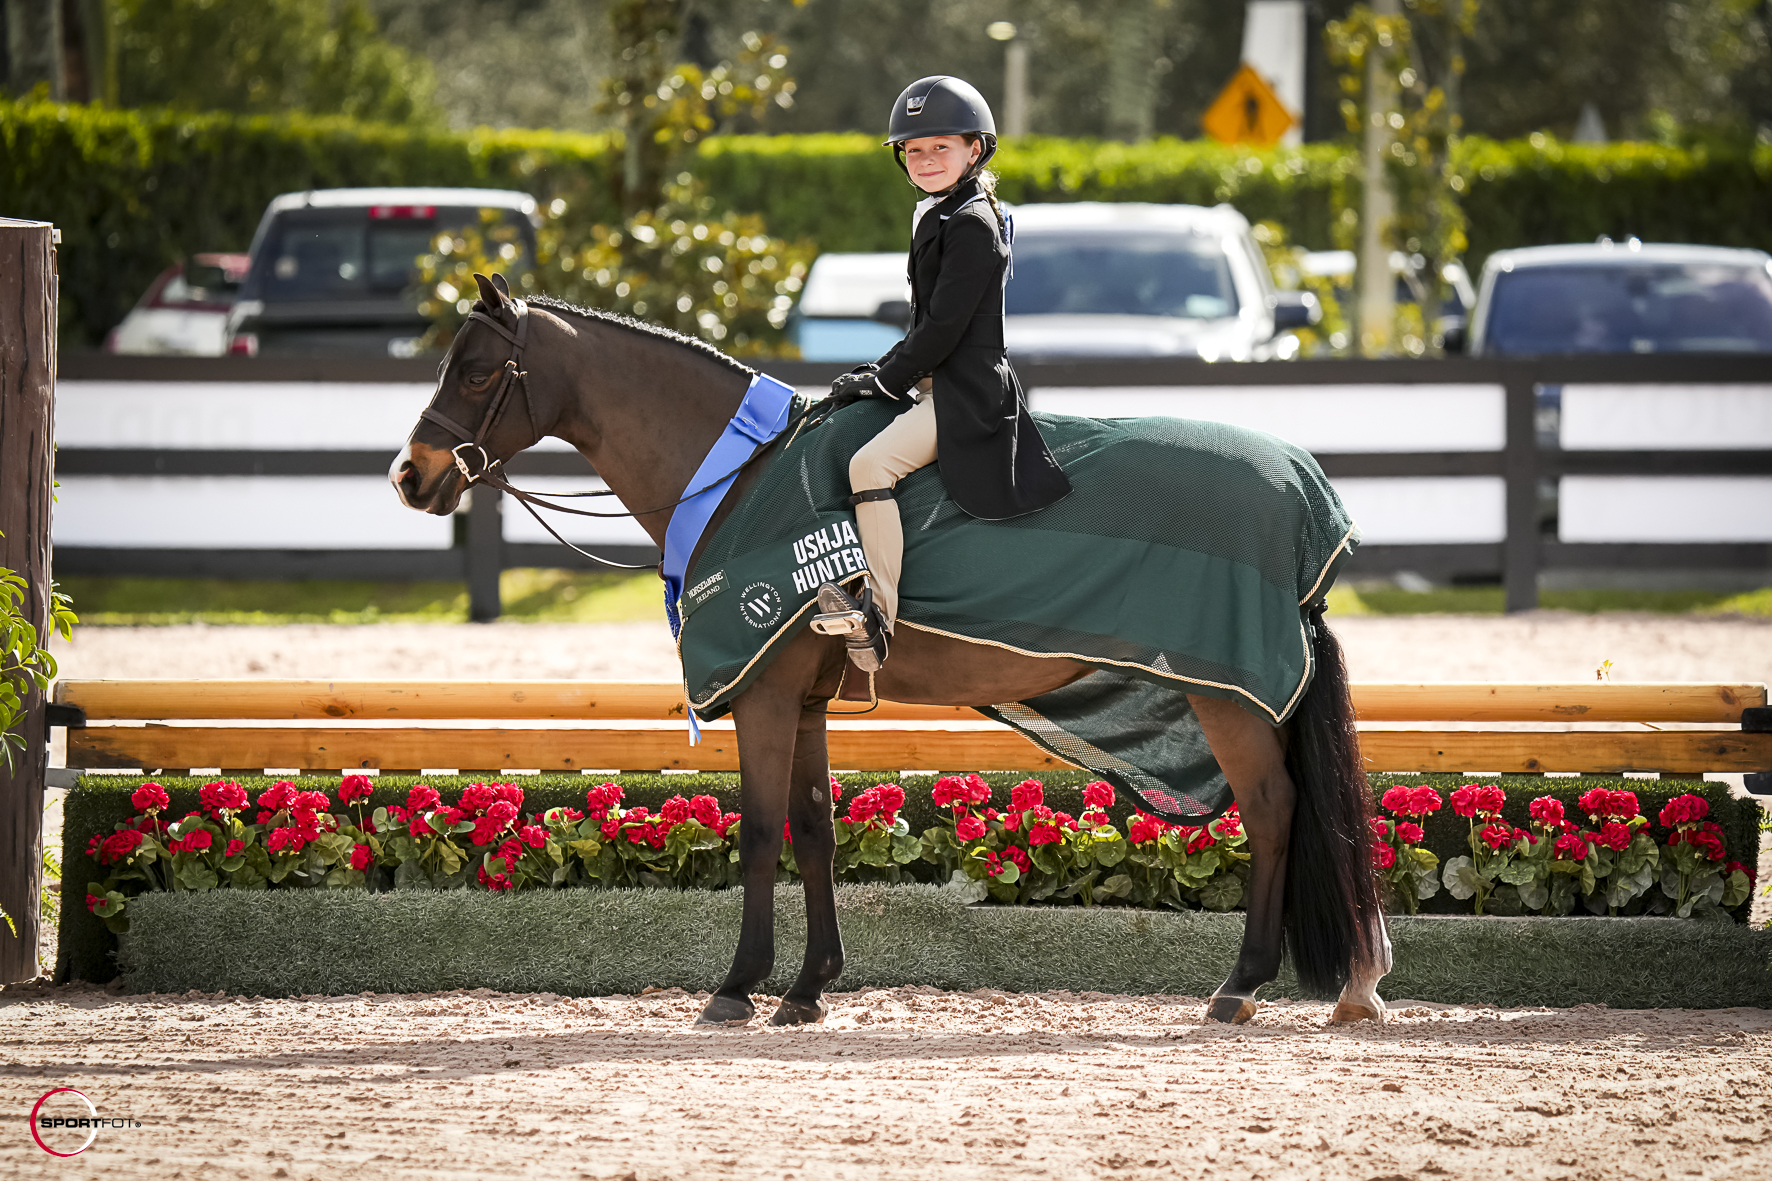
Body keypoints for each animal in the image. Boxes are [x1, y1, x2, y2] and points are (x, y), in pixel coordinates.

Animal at [391, 273, 1392, 1028]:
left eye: (476, 372)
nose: (410, 475)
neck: (737, 479)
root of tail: (1306, 496)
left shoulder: (761, 692)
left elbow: (760, 831)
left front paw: (737, 987)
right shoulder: (798, 695)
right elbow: (815, 830)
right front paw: (808, 988)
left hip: (1227, 693)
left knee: (1272, 809)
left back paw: (1241, 985)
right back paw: (1349, 981)